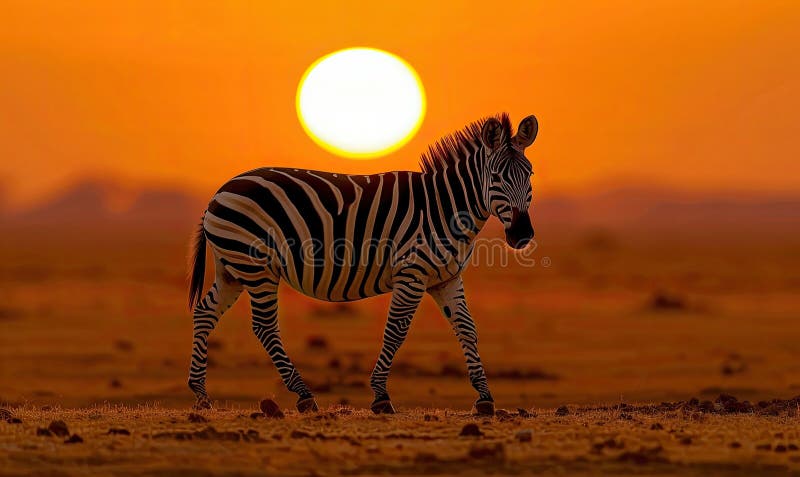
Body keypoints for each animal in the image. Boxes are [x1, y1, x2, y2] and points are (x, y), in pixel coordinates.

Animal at [187, 113, 538, 415]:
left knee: (205, 312)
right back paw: (304, 395)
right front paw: (381, 396)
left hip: (233, 269)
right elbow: (396, 331)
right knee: (264, 326)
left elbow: (467, 329)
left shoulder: (446, 278)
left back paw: (201, 394)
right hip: (257, 266)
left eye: (530, 175)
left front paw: (485, 398)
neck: (445, 208)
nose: (522, 234)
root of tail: (218, 193)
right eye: (496, 177)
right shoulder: (411, 274)